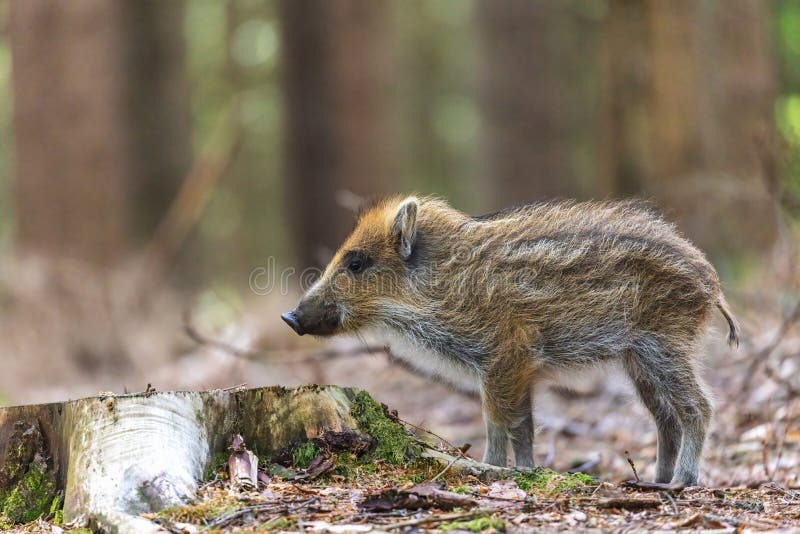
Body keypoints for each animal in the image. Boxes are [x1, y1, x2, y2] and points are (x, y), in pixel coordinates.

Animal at [281, 196, 739, 487]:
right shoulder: (510, 366)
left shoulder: (507, 354)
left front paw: (493, 470)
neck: (446, 285)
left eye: (357, 263)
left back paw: (682, 482)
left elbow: (500, 419)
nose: (290, 316)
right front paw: (521, 471)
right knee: (664, 416)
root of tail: (711, 284)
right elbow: (522, 425)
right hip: (640, 359)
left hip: (664, 344)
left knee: (699, 406)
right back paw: (654, 481)